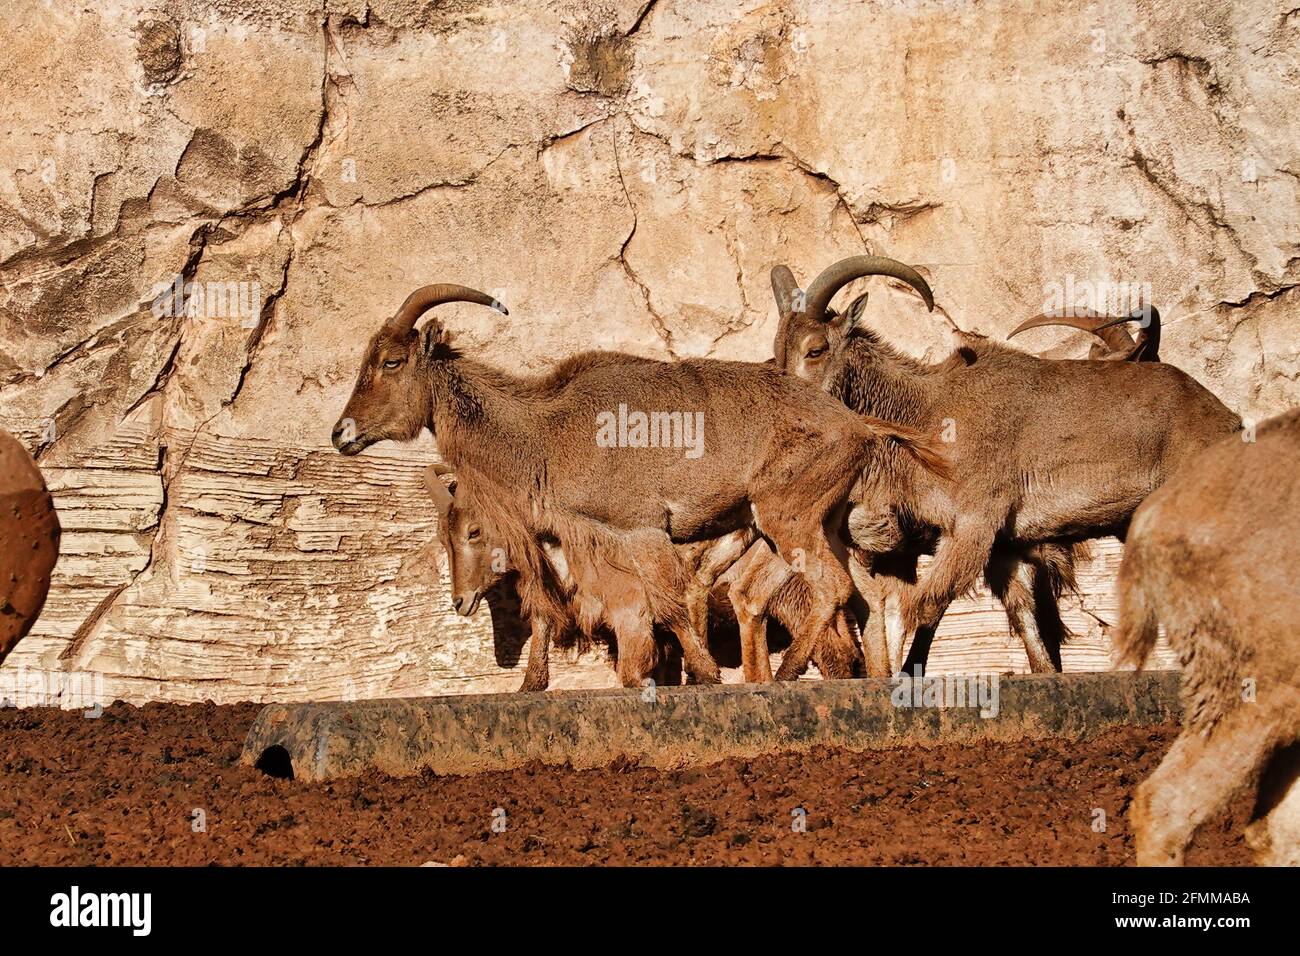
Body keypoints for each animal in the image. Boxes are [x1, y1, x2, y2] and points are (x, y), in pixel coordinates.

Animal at [333, 282, 951, 684]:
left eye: (391, 361)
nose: (342, 432)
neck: (547, 431)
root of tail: (858, 427)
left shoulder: (642, 529)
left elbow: (668, 608)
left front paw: (704, 674)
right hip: (817, 525)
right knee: (862, 595)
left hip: (787, 518)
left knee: (834, 588)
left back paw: (789, 672)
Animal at [772, 257, 1241, 677]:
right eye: (778, 353)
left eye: (816, 349)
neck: (931, 413)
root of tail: (1228, 419)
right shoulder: (1005, 544)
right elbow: (1021, 612)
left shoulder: (974, 524)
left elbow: (928, 604)